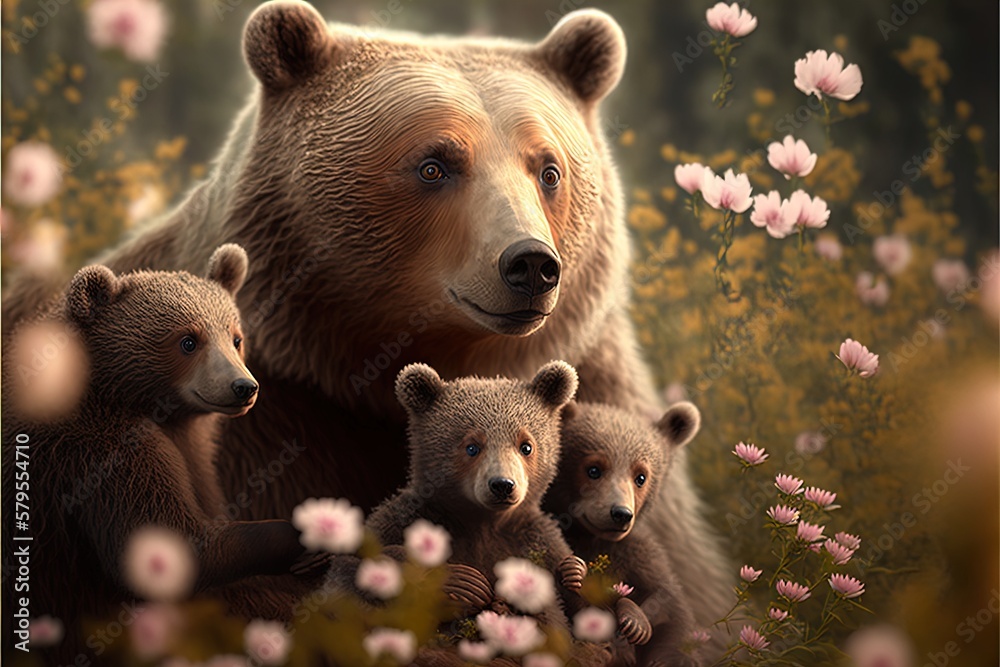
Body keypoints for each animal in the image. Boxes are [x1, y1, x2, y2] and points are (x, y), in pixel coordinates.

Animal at [1, 245, 323, 664]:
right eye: (188, 340)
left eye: (235, 337)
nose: (244, 387)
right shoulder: (102, 454)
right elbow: (176, 546)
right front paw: (305, 537)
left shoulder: (191, 451)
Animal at [544, 401, 704, 667]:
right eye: (594, 469)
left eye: (641, 477)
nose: (620, 513)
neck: (590, 537)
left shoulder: (638, 553)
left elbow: (671, 605)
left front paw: (636, 621)